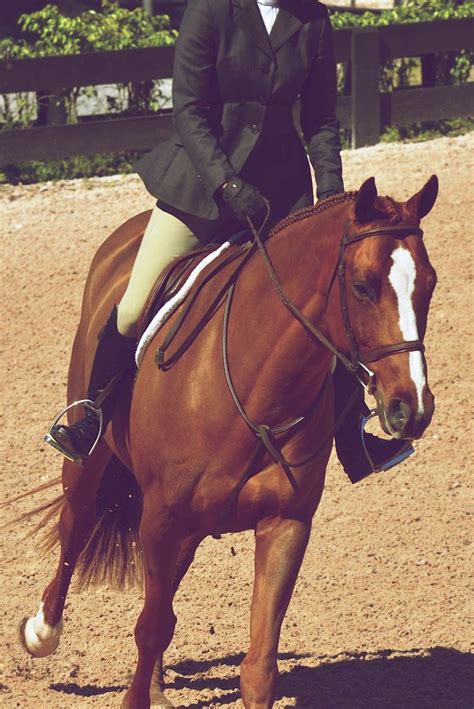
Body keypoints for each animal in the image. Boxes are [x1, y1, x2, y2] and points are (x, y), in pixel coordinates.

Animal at [19, 175, 438, 708]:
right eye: (362, 288)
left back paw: (155, 684)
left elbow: (258, 666)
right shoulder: (162, 517)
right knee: (77, 525)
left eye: (430, 285)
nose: (413, 409)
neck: (257, 390)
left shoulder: (284, 523)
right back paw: (42, 632)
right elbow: (151, 627)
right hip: (91, 461)